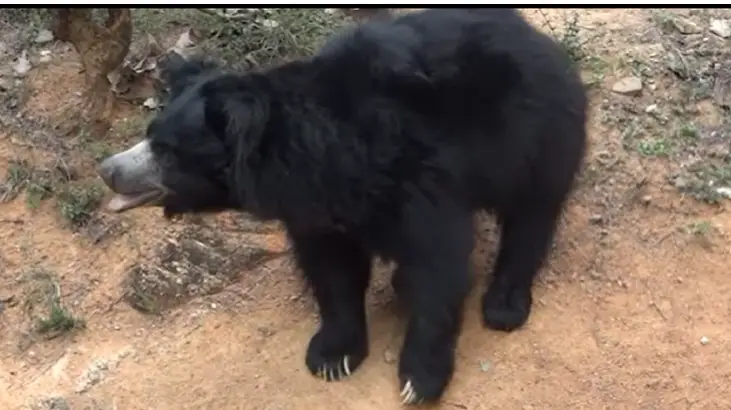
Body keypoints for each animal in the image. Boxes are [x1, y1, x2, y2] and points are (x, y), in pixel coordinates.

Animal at [97, 8, 588, 406]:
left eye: (166, 151)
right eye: (148, 133)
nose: (108, 170)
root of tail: (537, 37)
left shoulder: (419, 178)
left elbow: (439, 262)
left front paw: (419, 381)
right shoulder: (316, 213)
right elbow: (331, 271)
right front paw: (332, 356)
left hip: (535, 134)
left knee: (532, 215)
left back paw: (504, 304)